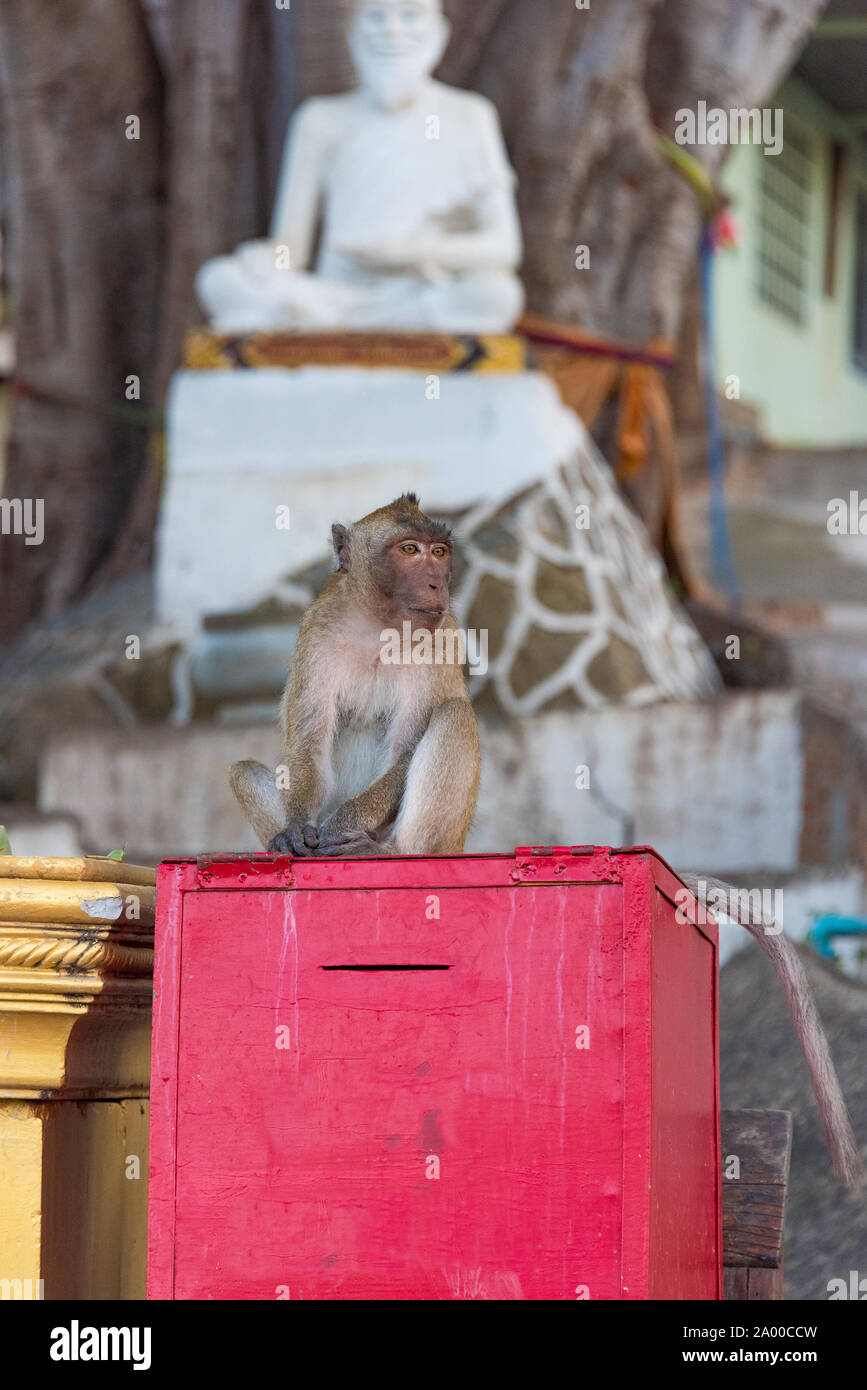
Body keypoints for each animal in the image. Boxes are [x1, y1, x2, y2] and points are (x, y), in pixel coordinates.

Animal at [230, 493, 480, 859]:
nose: (437, 583)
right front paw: (293, 831)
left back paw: (392, 851)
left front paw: (340, 825)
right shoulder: (317, 631)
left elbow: (404, 749)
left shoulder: (442, 638)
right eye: (410, 549)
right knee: (243, 772)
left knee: (454, 714)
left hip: (446, 844)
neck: (379, 627)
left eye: (438, 552)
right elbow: (309, 746)